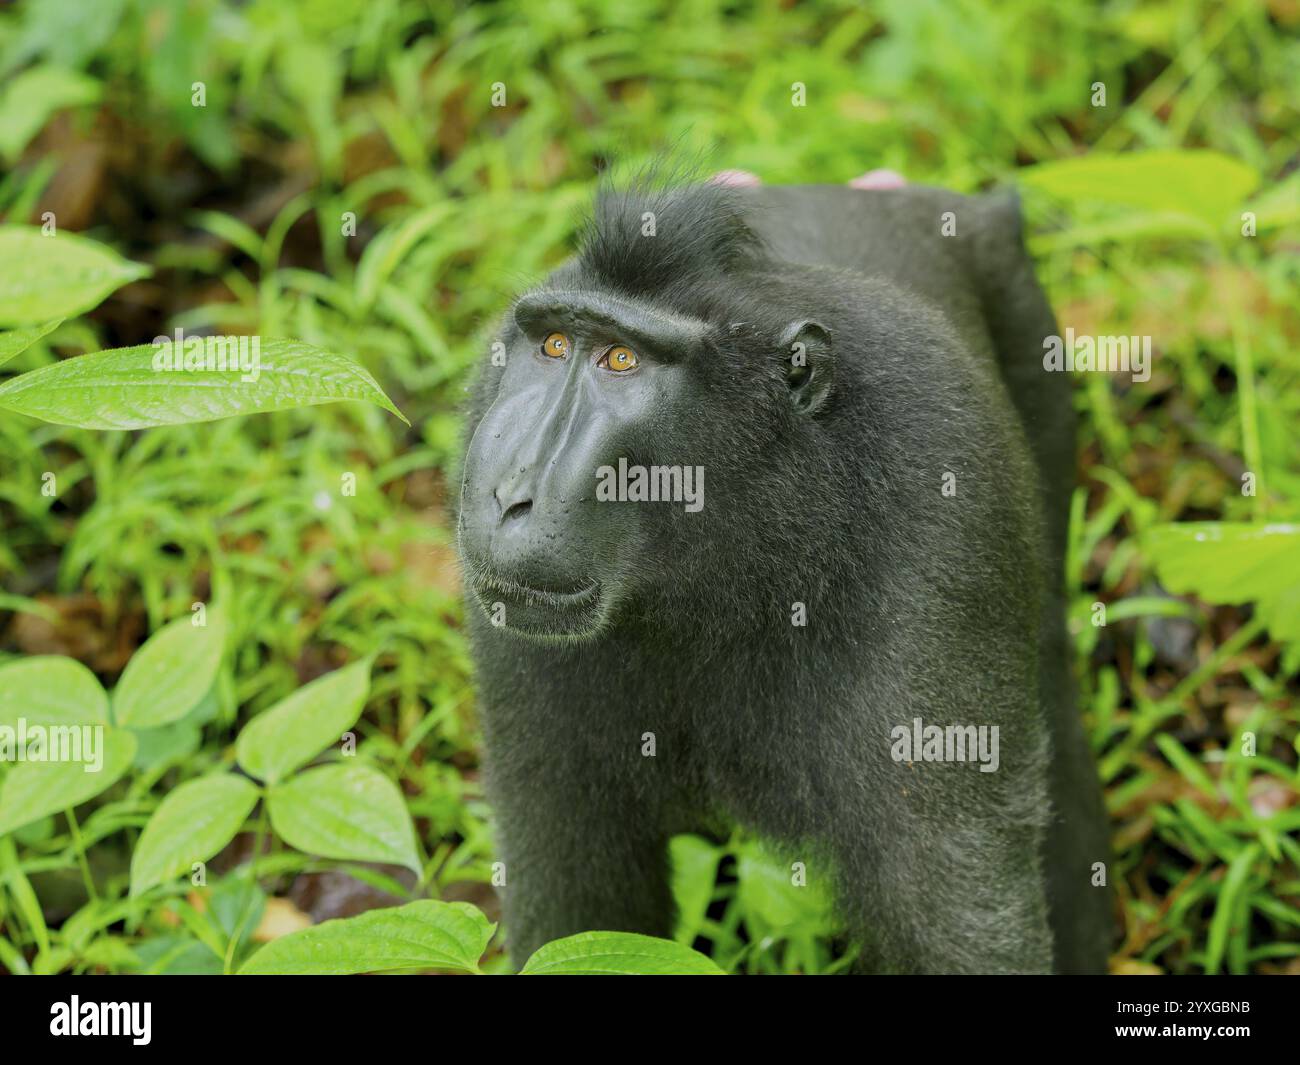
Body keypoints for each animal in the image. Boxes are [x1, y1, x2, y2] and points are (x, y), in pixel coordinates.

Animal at [455, 171, 1115, 974]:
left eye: (621, 360)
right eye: (552, 345)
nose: (508, 493)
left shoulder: (938, 505)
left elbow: (949, 909)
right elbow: (577, 898)